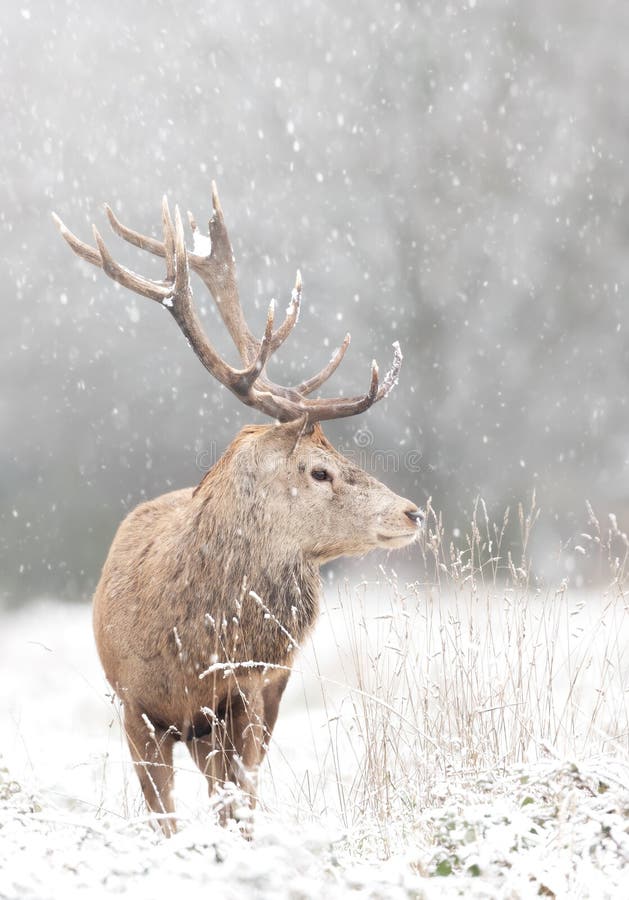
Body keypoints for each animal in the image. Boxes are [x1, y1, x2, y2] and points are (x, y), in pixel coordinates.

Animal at [53, 183, 423, 837]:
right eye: (319, 470)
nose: (412, 513)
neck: (189, 651)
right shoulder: (135, 709)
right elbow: (165, 819)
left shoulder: (244, 702)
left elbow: (238, 810)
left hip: (265, 699)